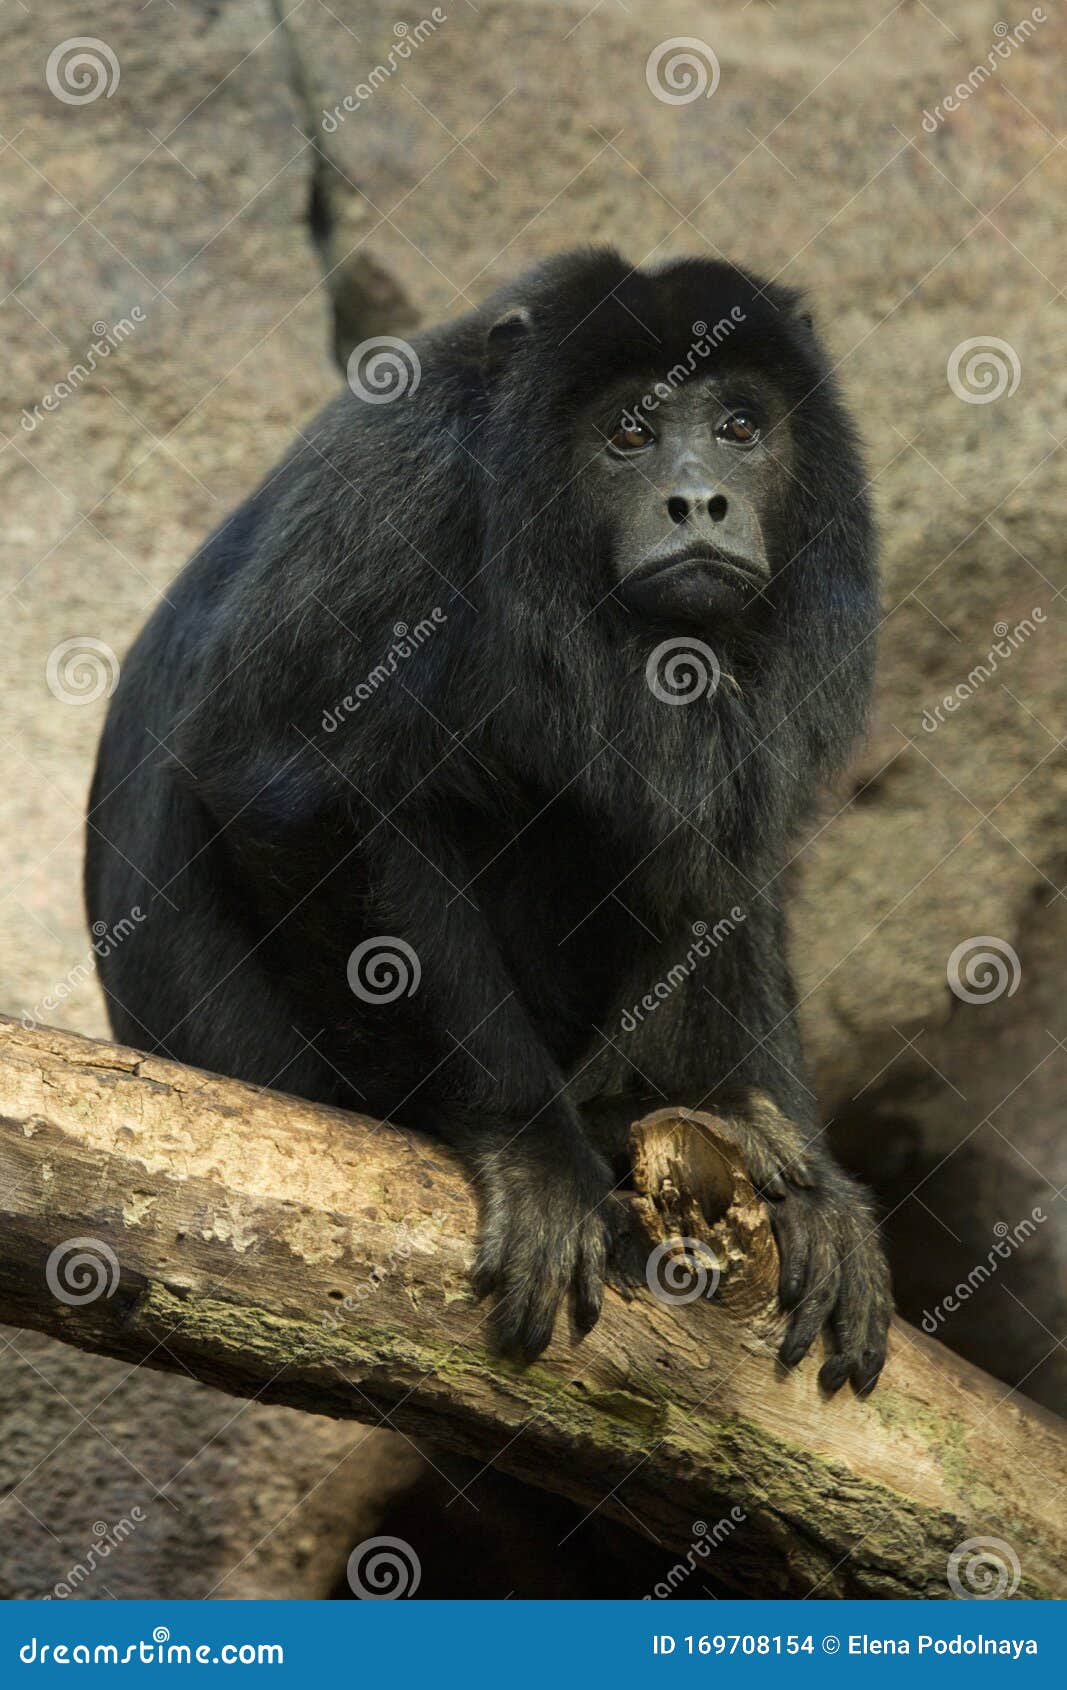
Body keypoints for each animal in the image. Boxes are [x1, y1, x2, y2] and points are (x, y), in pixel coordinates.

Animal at [85, 247, 892, 1391]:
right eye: (628, 433)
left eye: (741, 425)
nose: (700, 499)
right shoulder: (404, 482)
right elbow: (284, 783)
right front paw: (532, 1148)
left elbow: (729, 864)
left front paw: (808, 1172)